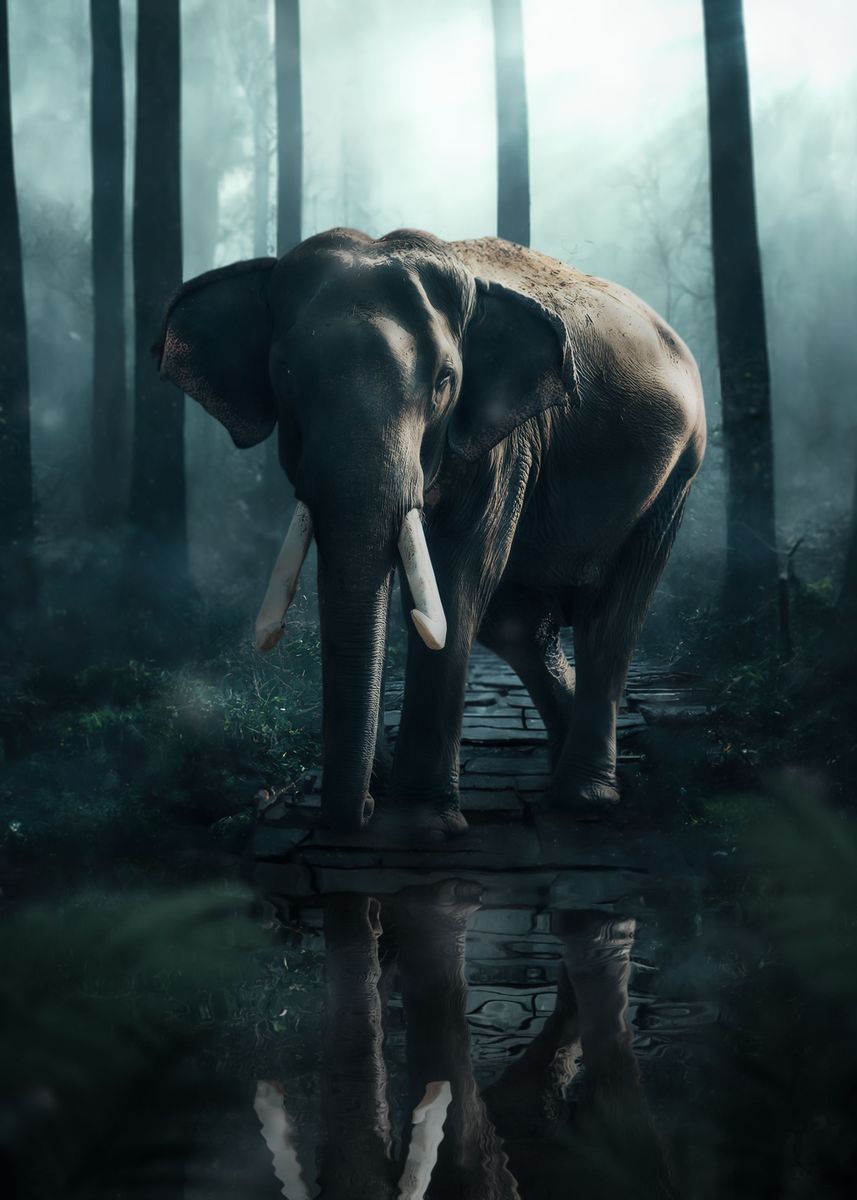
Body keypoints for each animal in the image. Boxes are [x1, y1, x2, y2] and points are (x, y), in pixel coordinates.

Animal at [156, 228, 705, 837]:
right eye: (284, 375)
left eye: (445, 381)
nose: (362, 810)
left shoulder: (502, 441)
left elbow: (458, 578)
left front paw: (418, 827)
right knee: (517, 623)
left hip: (676, 475)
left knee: (612, 617)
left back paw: (583, 798)